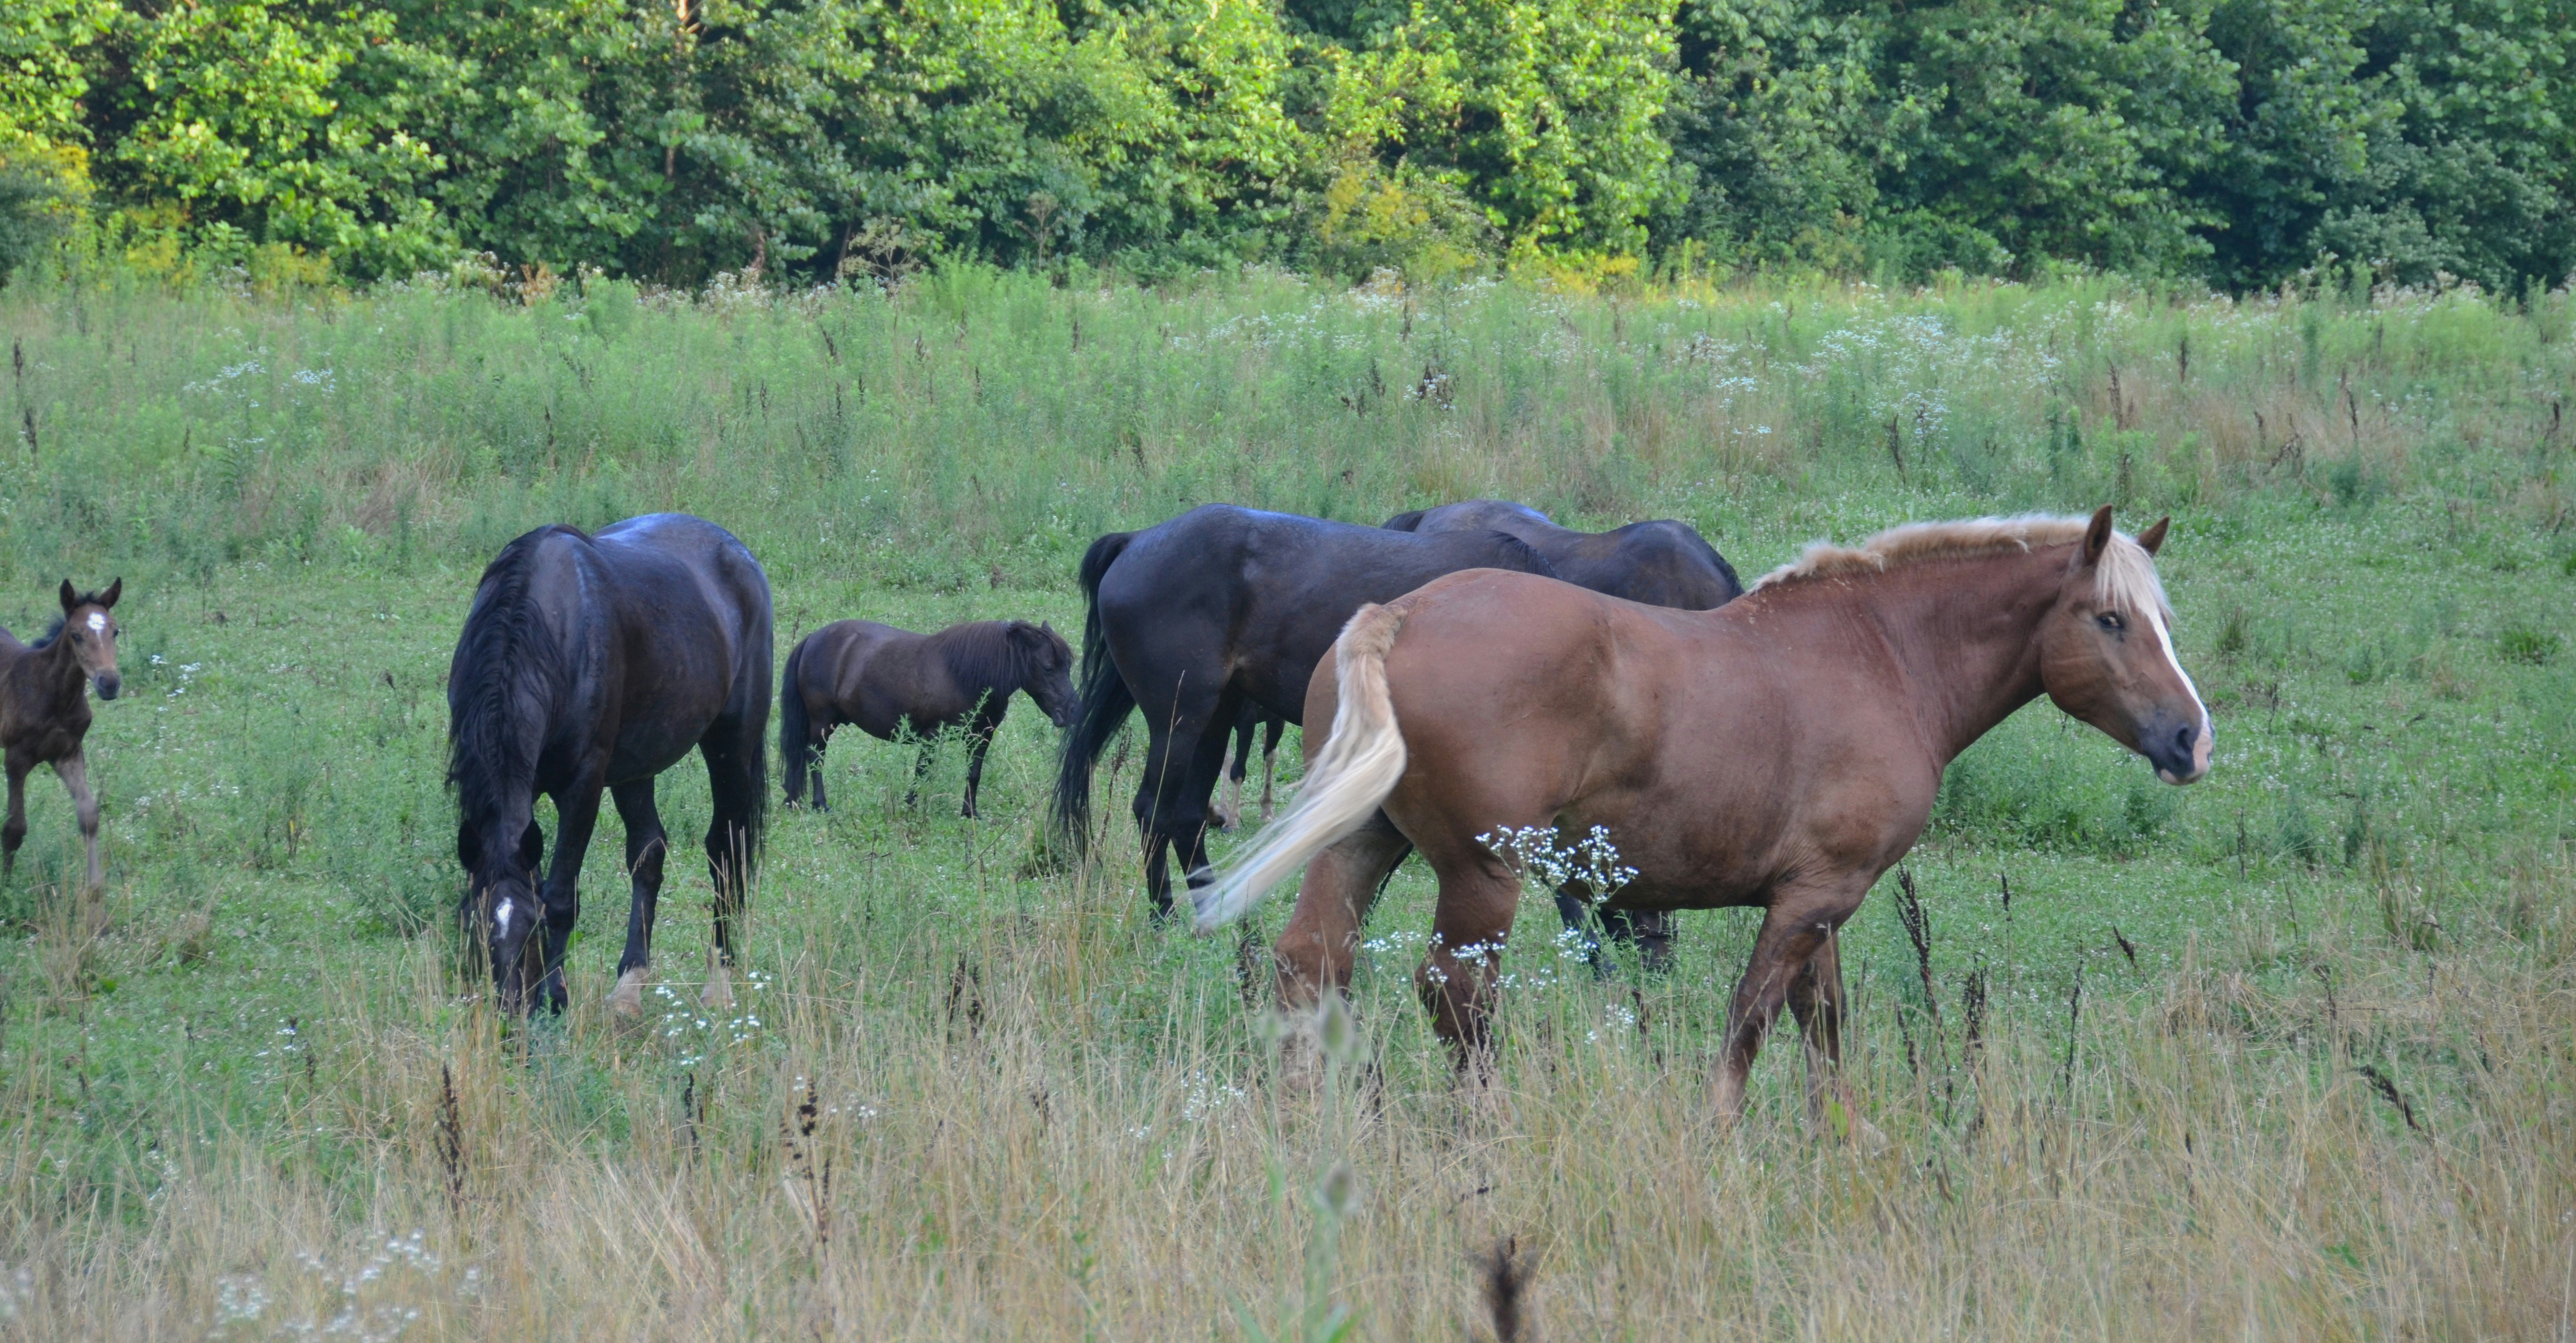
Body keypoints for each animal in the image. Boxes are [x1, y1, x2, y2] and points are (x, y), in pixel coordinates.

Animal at [0, 580, 123, 893]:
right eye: (76, 635)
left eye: (115, 631)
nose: (109, 683)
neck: (54, 694)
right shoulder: (16, 758)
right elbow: (14, 829)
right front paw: (6, 890)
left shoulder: (67, 752)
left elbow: (89, 816)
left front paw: (95, 892)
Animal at [446, 514, 772, 1017]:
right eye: (473, 928)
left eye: (533, 926)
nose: (512, 1014)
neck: (548, 628)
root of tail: (738, 553)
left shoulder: (583, 785)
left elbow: (562, 895)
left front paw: (556, 998)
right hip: (636, 767)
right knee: (649, 851)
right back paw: (628, 989)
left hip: (731, 746)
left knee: (725, 850)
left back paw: (719, 982)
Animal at [780, 619, 1078, 817]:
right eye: (1048, 668)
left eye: (1068, 666)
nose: (1073, 712)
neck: (963, 674)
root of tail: (812, 639)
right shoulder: (932, 736)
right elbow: (922, 772)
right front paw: (911, 805)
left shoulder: (981, 736)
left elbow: (973, 774)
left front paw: (970, 813)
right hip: (822, 722)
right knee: (816, 759)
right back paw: (821, 804)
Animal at [1052, 505, 1561, 917]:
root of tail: (1137, 539)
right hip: (1181, 721)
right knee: (1154, 811)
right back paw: (1166, 919)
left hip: (1213, 721)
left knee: (1188, 816)